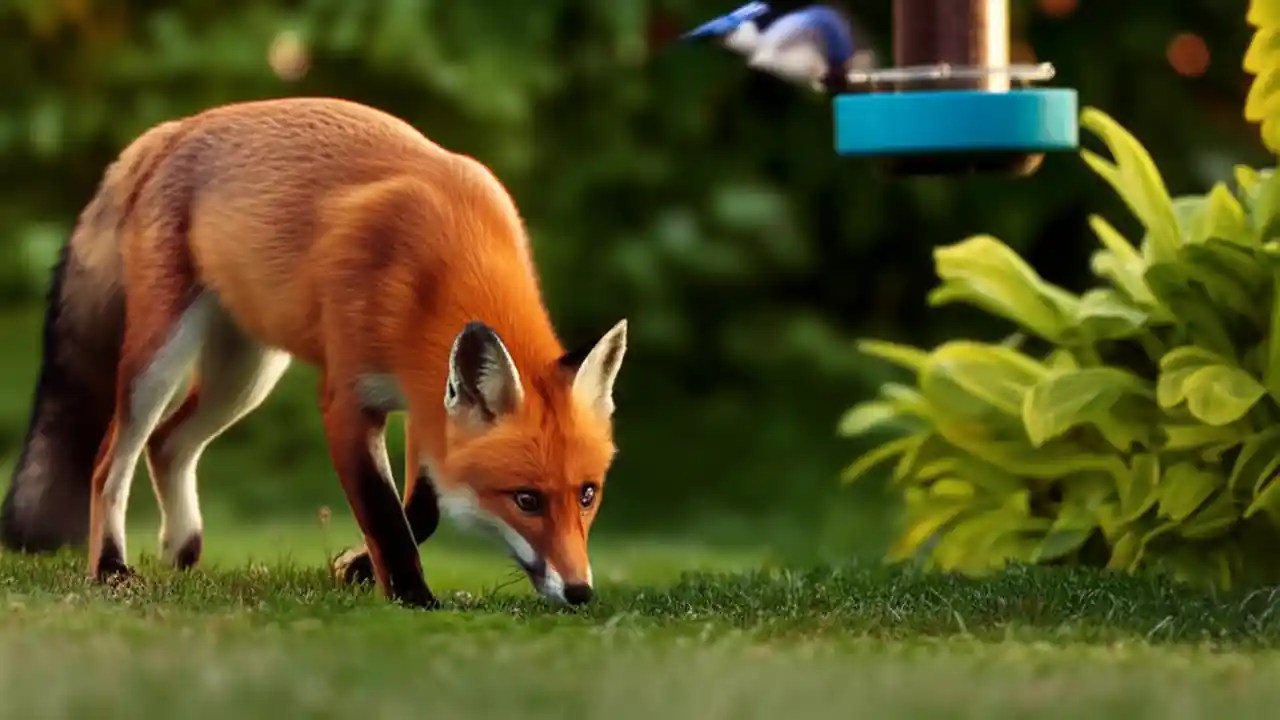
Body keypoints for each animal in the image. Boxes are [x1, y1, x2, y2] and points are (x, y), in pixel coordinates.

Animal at [0, 97, 629, 608]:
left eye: (588, 493)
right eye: (526, 499)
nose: (580, 593)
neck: (443, 261)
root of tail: (174, 129)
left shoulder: (427, 399)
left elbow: (419, 511)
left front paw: (357, 568)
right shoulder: (350, 400)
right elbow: (386, 515)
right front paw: (411, 597)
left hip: (246, 376)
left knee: (168, 443)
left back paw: (181, 548)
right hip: (160, 361)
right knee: (112, 460)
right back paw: (110, 568)